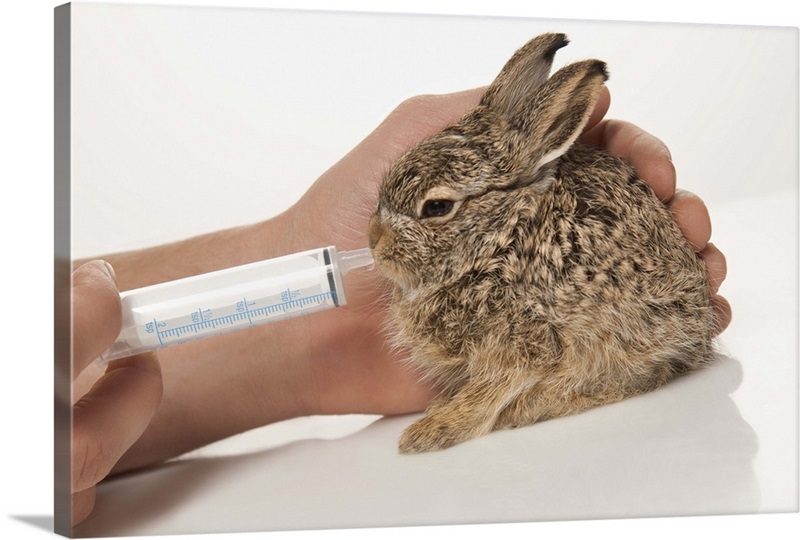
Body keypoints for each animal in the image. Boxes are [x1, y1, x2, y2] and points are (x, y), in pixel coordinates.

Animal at [367, 33, 717, 454]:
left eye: (437, 207)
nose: (373, 241)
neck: (498, 242)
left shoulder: (530, 342)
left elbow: (492, 389)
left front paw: (433, 430)